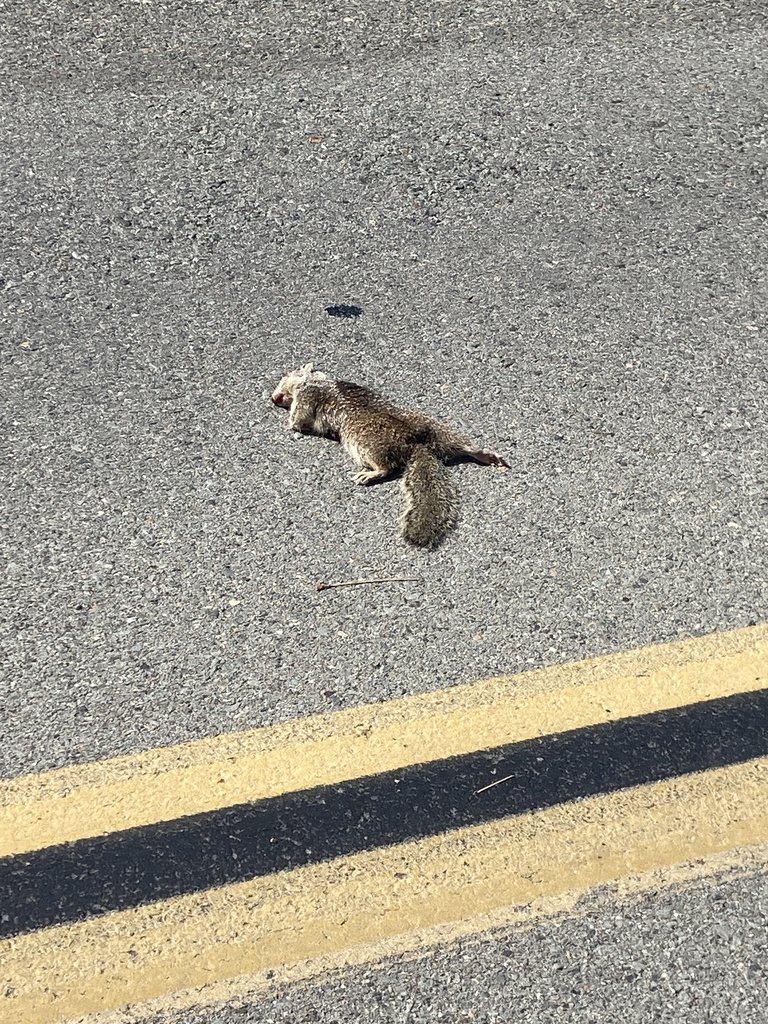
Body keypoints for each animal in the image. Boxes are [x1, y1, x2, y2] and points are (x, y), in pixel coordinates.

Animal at [271, 363, 510, 548]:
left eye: (284, 378)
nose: (273, 398)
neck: (316, 381)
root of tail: (416, 444)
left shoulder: (306, 398)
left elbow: (298, 421)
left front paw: (290, 423)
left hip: (364, 445)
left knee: (387, 467)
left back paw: (369, 475)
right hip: (440, 431)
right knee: (463, 447)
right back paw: (488, 456)